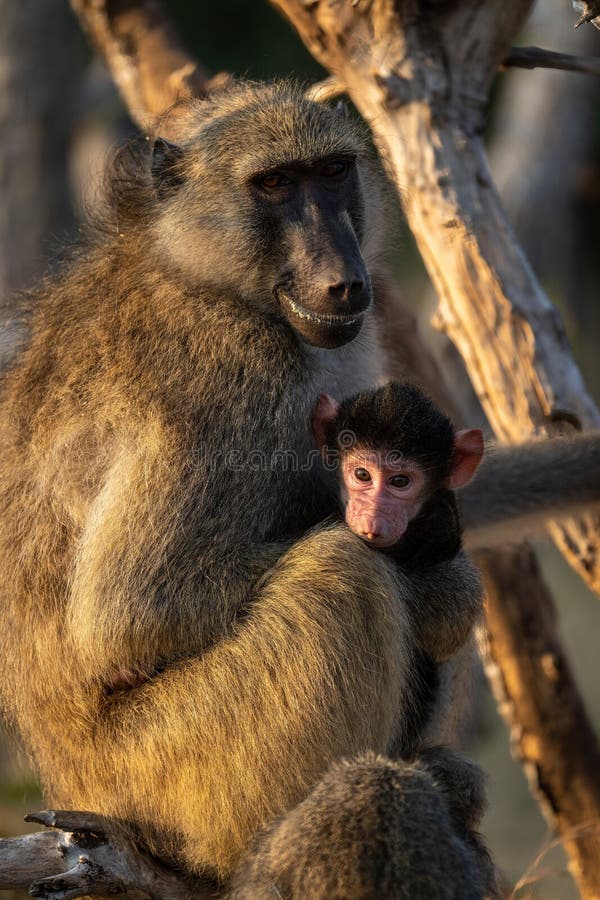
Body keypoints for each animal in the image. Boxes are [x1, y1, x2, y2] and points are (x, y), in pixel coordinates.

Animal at [0, 80, 597, 896]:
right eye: (276, 184)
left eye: (334, 172)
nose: (343, 280)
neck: (196, 268)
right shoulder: (231, 369)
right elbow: (129, 615)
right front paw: (438, 583)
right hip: (167, 775)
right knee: (344, 573)